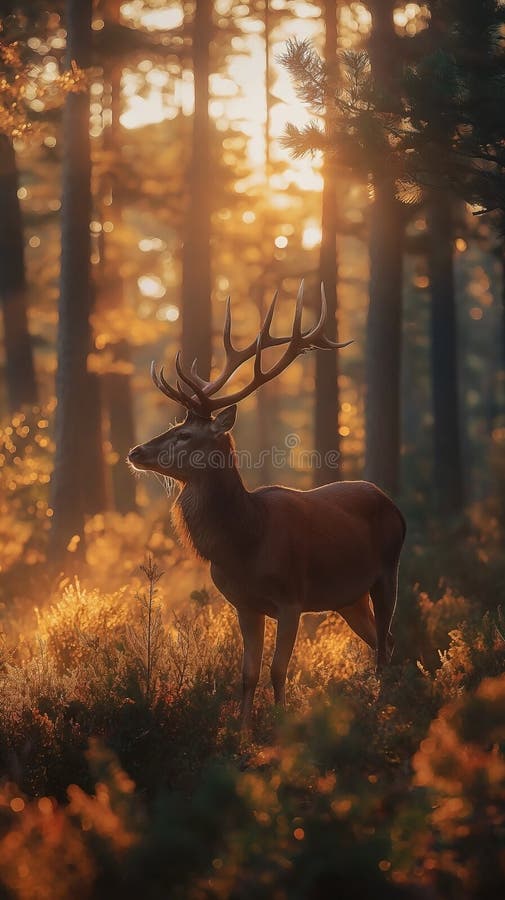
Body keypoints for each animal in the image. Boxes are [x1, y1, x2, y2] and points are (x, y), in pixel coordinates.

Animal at [128, 283, 406, 730]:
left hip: (387, 571)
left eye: (185, 434)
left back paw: (384, 709)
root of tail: (391, 502)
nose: (136, 451)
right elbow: (248, 674)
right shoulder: (244, 604)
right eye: (173, 426)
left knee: (384, 642)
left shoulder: (292, 599)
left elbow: (278, 671)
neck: (246, 543)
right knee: (386, 640)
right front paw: (242, 734)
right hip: (348, 596)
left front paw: (281, 729)